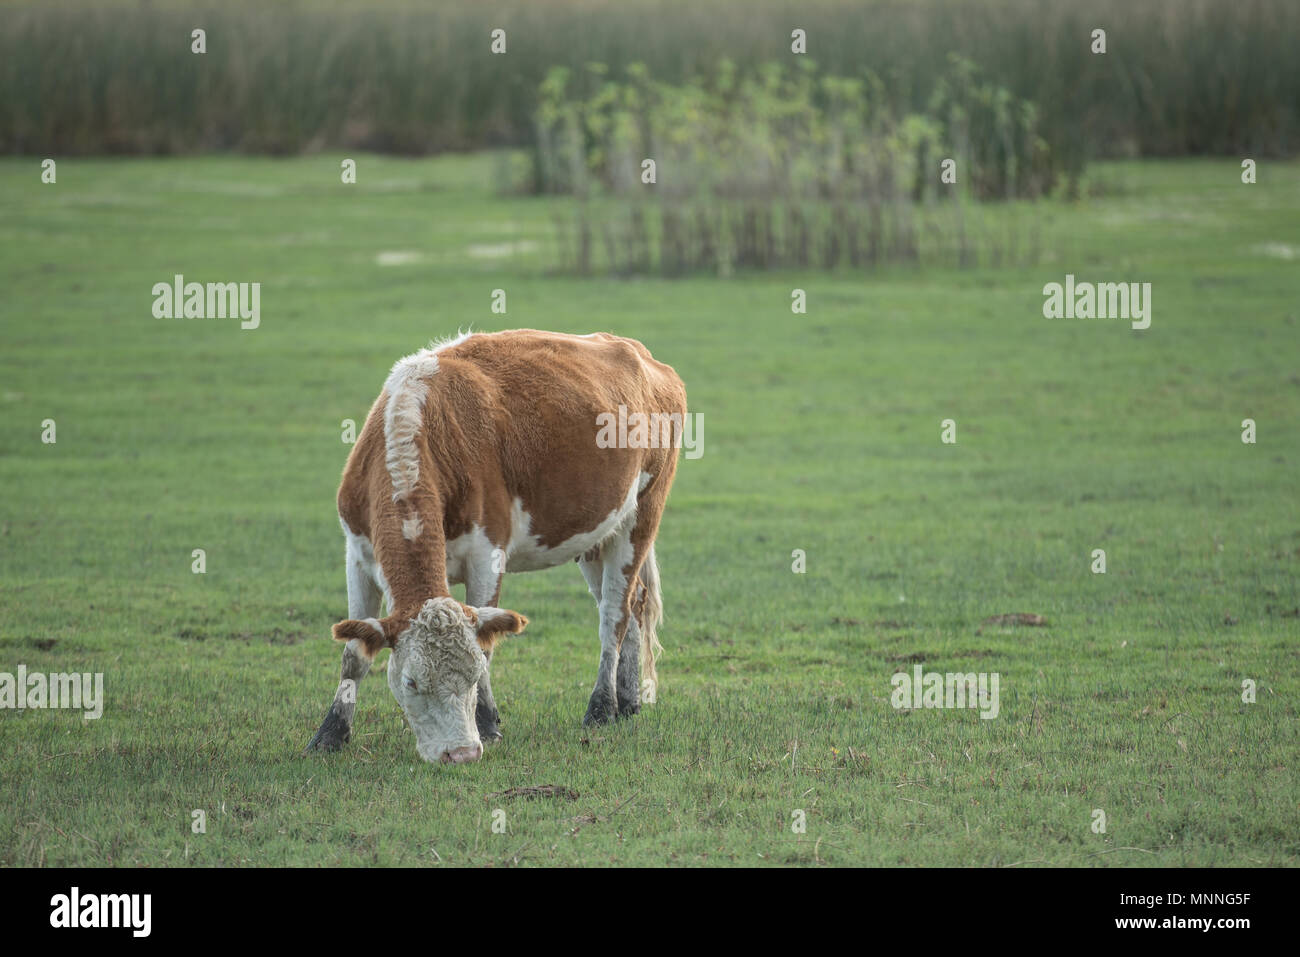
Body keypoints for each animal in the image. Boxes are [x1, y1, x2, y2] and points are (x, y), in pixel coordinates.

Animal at [305, 329, 687, 764]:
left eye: (471, 679)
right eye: (412, 682)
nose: (461, 753)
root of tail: (643, 355)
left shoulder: (486, 554)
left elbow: (485, 648)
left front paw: (487, 723)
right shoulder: (356, 553)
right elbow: (353, 653)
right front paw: (330, 733)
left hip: (642, 514)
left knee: (615, 614)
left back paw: (602, 706)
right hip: (596, 532)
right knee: (635, 601)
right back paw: (628, 701)